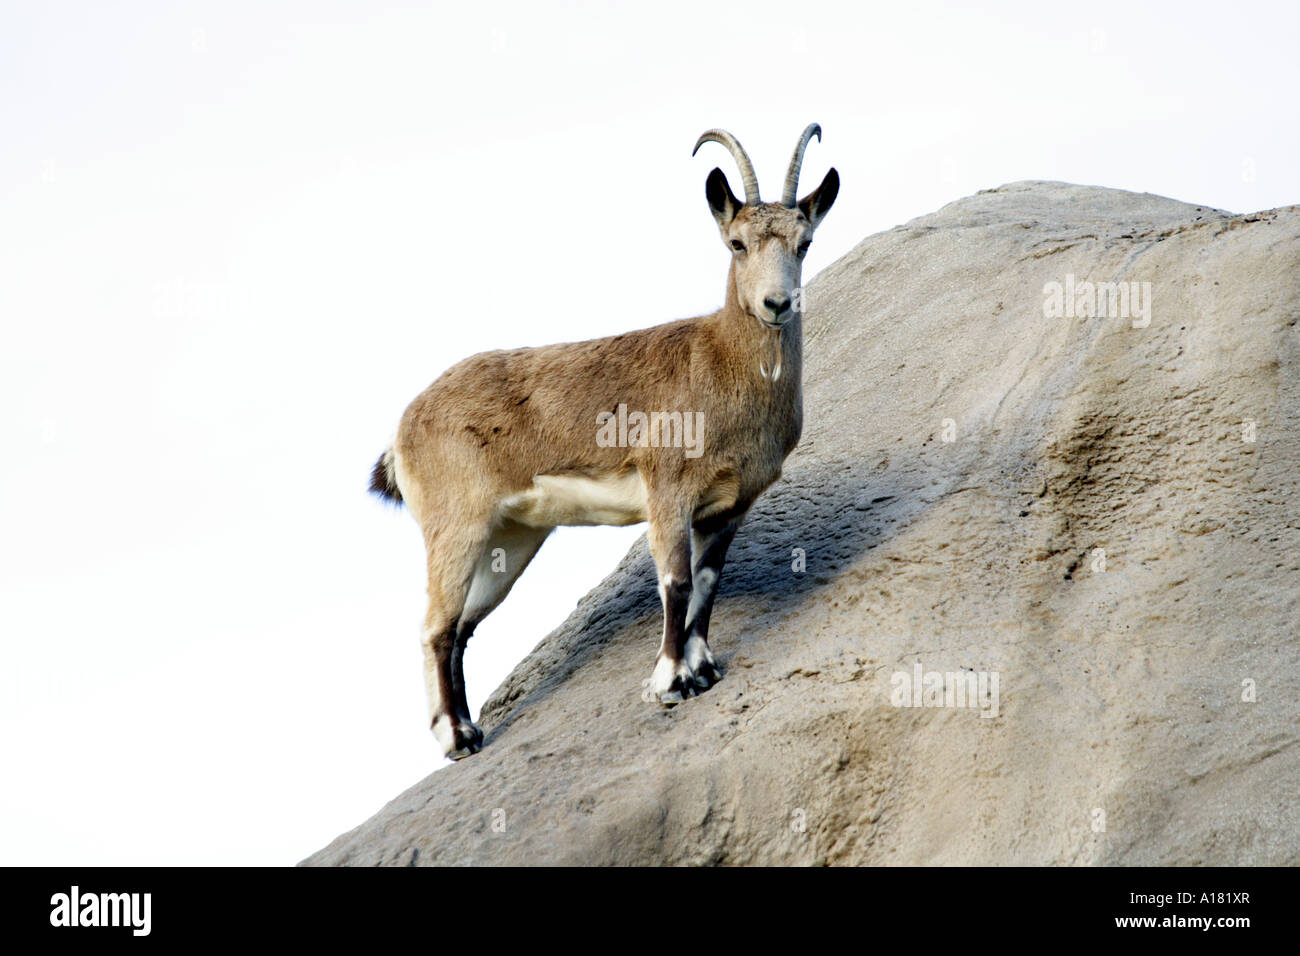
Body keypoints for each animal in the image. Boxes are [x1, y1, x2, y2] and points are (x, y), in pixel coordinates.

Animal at [370, 124, 838, 759]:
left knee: (463, 625)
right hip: (455, 524)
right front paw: (668, 682)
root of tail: (401, 435)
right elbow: (675, 581)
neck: (719, 364)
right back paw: (456, 738)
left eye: (804, 243)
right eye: (737, 243)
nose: (776, 304)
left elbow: (708, 582)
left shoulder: (729, 504)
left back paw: (470, 728)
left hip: (510, 537)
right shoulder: (667, 490)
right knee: (435, 627)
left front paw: (704, 669)